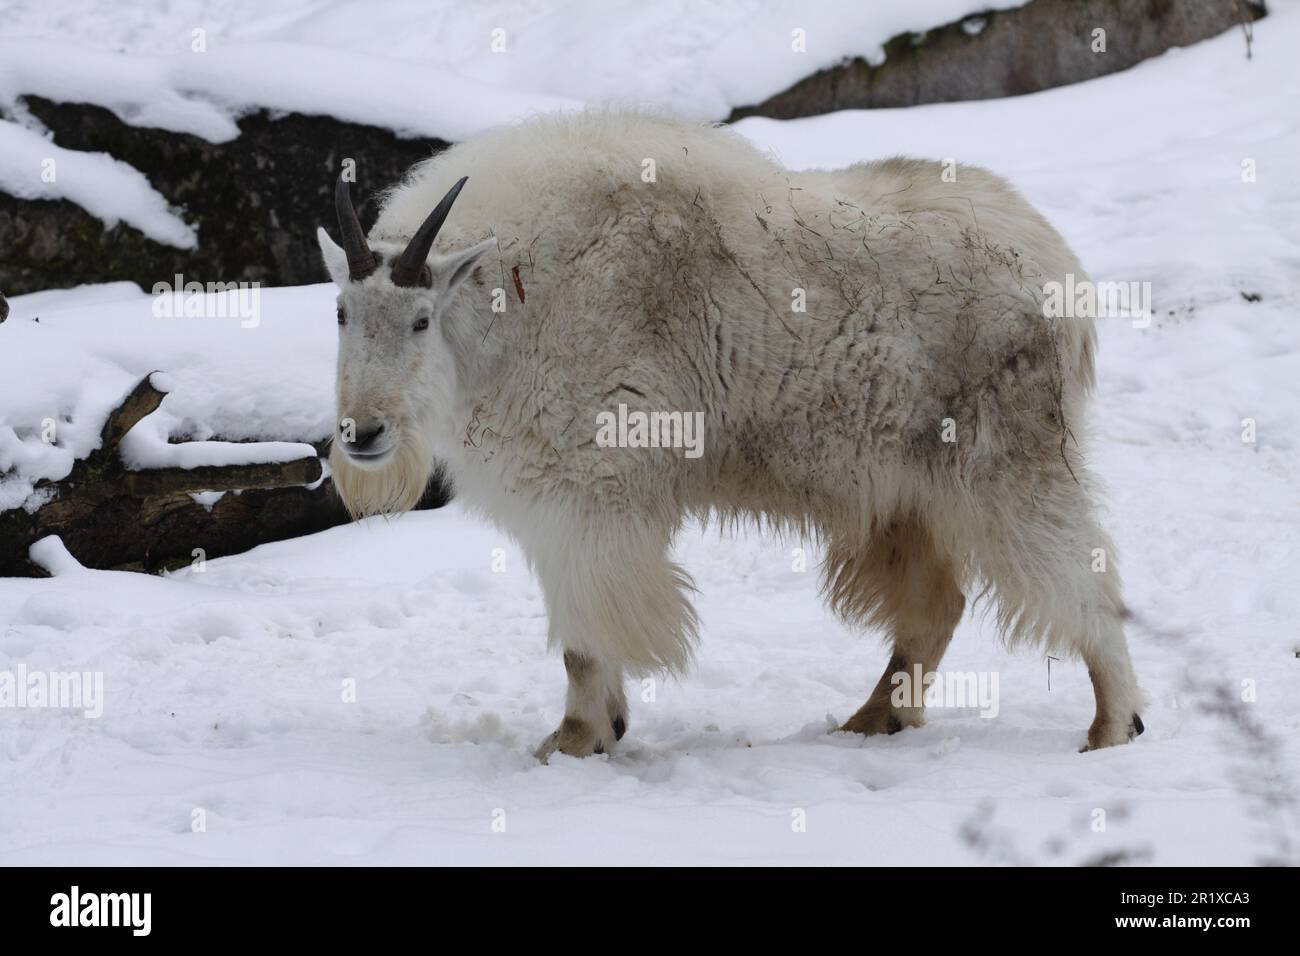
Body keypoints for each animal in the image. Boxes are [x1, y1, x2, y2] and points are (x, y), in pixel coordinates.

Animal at [316, 111, 1144, 760]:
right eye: (341, 312)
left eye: (421, 320)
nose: (363, 433)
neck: (512, 303)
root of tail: (1057, 267)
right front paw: (605, 727)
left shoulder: (590, 494)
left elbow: (583, 640)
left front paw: (576, 739)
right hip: (901, 492)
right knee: (936, 605)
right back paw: (874, 718)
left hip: (1007, 461)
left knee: (1084, 584)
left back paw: (1113, 727)